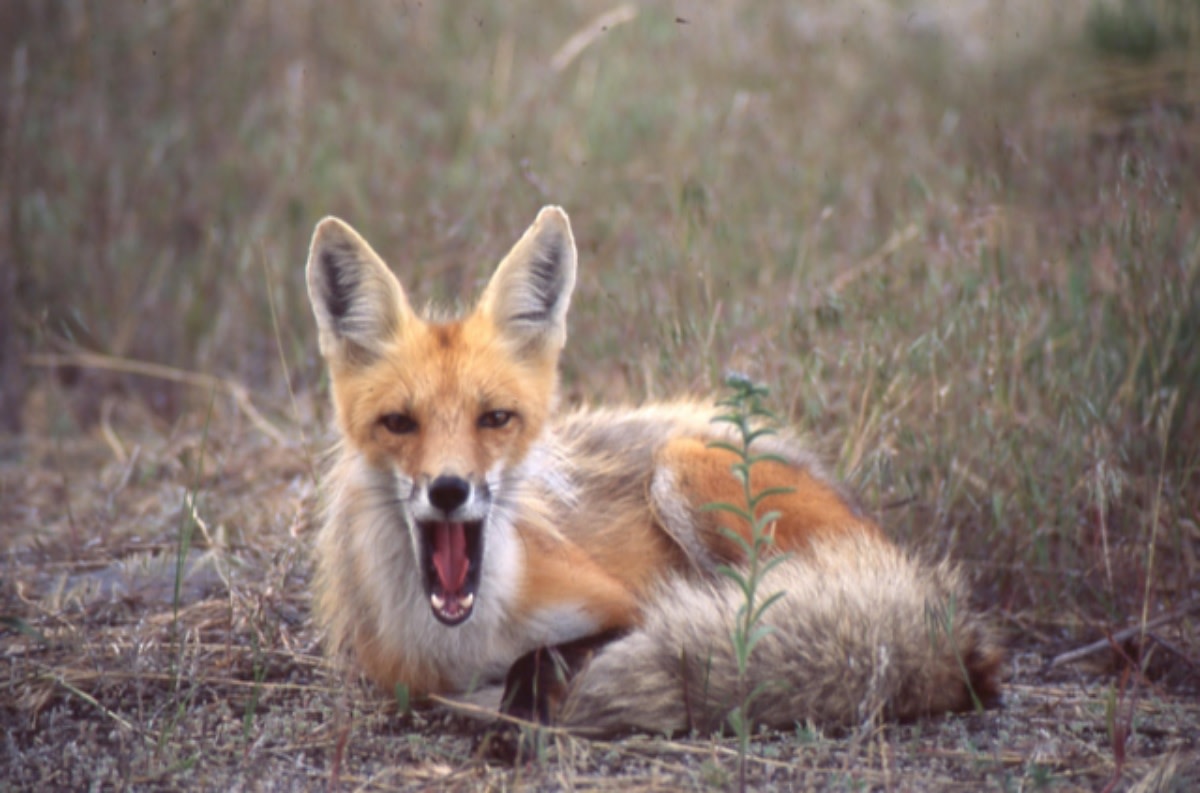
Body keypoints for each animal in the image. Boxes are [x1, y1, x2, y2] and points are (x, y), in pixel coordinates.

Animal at [305, 205, 1003, 734]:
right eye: (400, 423)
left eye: (495, 418)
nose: (450, 490)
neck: (464, 640)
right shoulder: (400, 676)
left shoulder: (626, 606)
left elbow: (546, 656)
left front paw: (522, 711)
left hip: (684, 469)